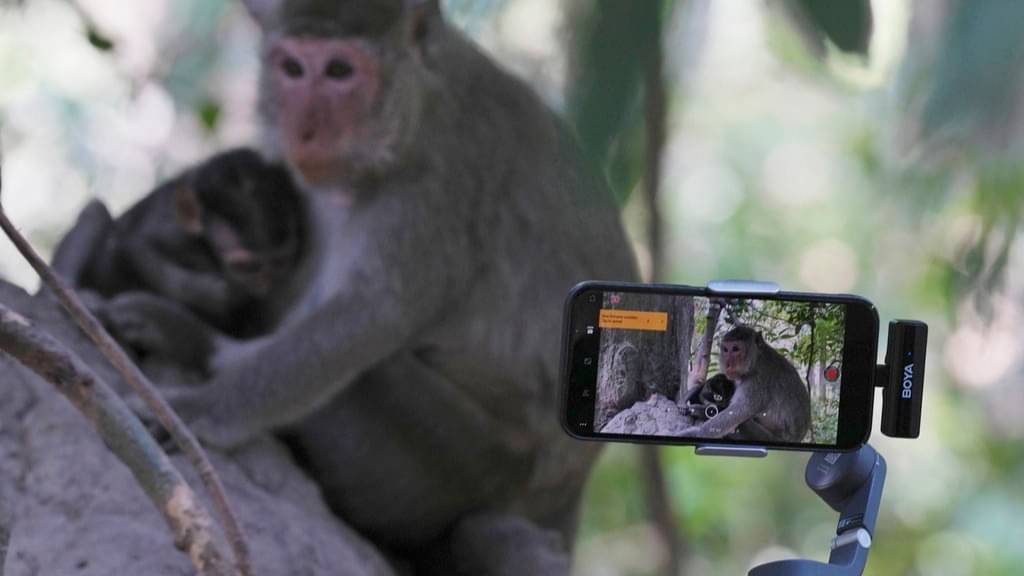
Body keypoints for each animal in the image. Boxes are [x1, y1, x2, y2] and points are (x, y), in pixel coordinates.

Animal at [52, 148, 306, 343]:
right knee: (96, 212)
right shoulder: (174, 235)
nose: (265, 281)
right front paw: (221, 295)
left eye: (280, 263)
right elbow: (134, 247)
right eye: (247, 267)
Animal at [92, 0, 638, 572]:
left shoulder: (440, 178)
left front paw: (200, 409)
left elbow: (370, 317)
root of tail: (569, 492)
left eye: (339, 71)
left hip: (469, 461)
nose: (304, 132)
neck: (416, 105)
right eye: (292, 69)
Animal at [679, 326, 811, 442]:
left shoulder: (757, 382)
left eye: (736, 349)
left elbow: (737, 412)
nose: (727, 364)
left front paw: (694, 433)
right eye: (726, 349)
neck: (756, 360)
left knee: (743, 422)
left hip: (765, 437)